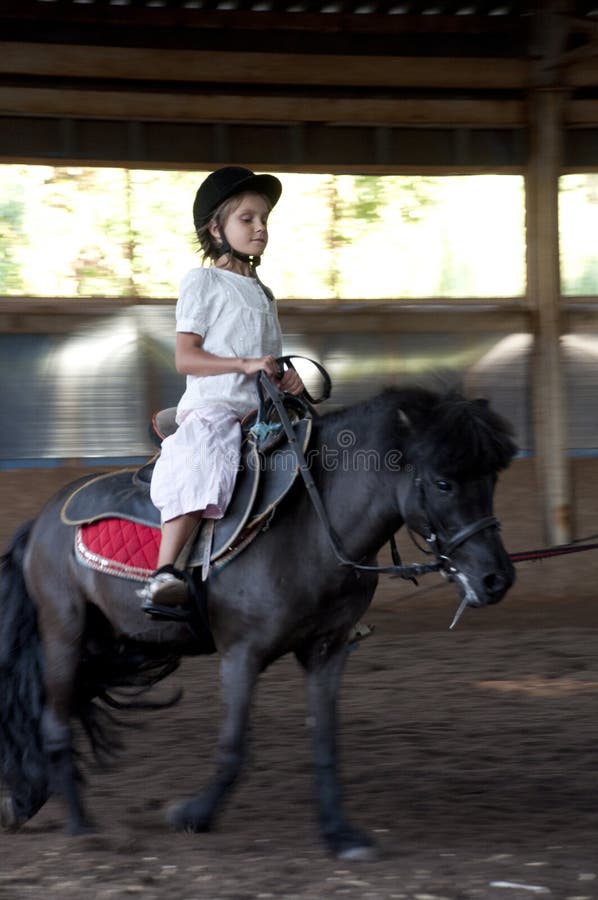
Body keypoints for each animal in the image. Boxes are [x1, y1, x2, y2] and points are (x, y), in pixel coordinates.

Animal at [0, 384, 517, 860]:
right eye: (444, 483)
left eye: (491, 479)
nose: (496, 579)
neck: (313, 525)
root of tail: (43, 520)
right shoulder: (241, 654)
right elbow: (234, 749)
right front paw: (191, 815)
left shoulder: (326, 651)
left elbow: (325, 742)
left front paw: (340, 835)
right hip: (64, 632)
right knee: (54, 724)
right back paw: (82, 828)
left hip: (105, 640)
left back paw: (31, 802)